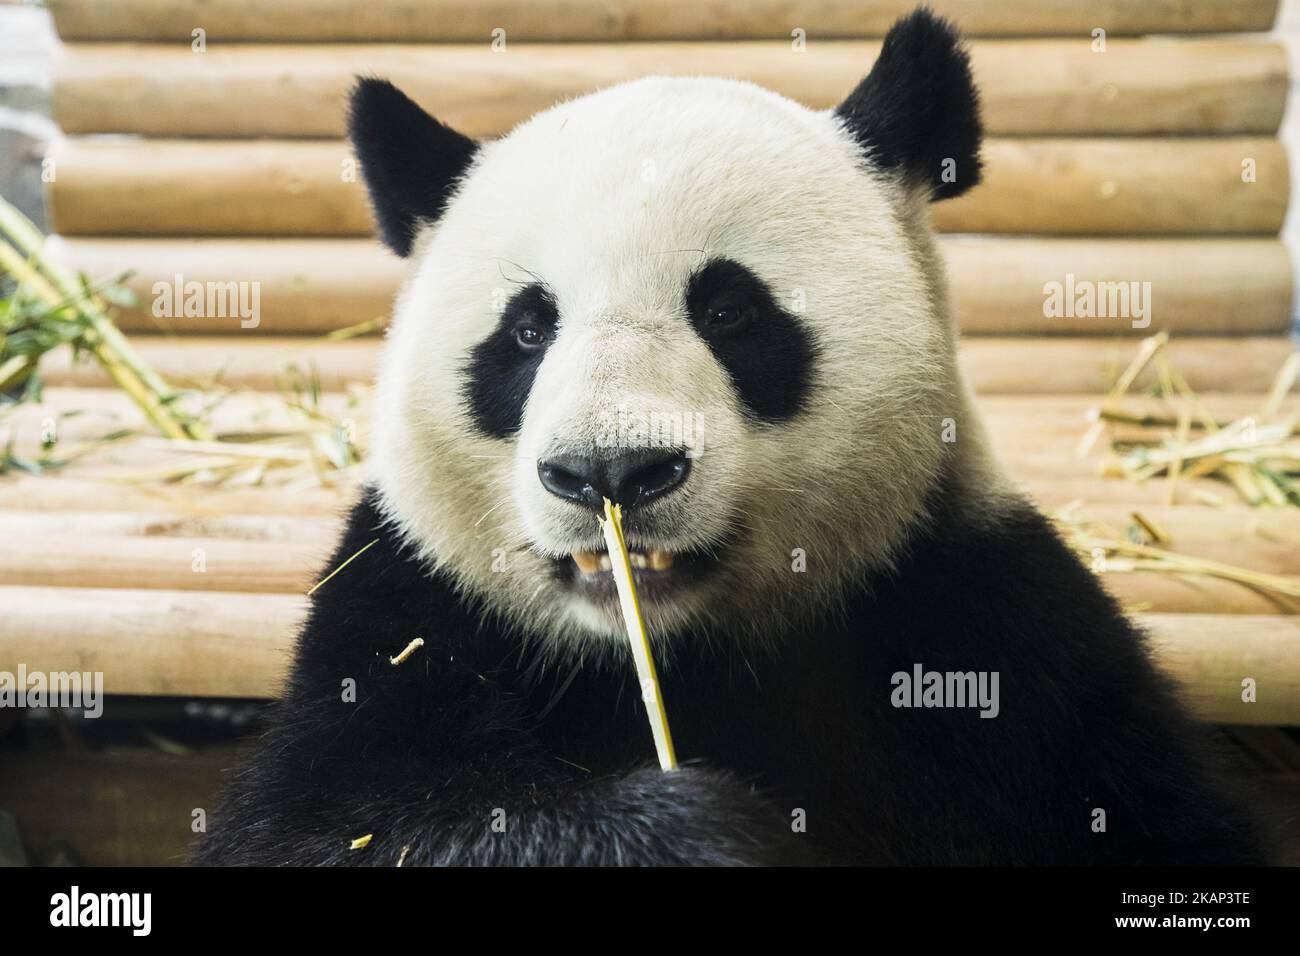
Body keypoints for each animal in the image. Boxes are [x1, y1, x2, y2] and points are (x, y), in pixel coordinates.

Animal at [194, 9, 1265, 866]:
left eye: (731, 310)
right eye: (528, 329)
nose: (610, 471)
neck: (679, 652)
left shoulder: (984, 615)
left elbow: (1158, 816)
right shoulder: (408, 611)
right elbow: (336, 826)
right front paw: (695, 832)